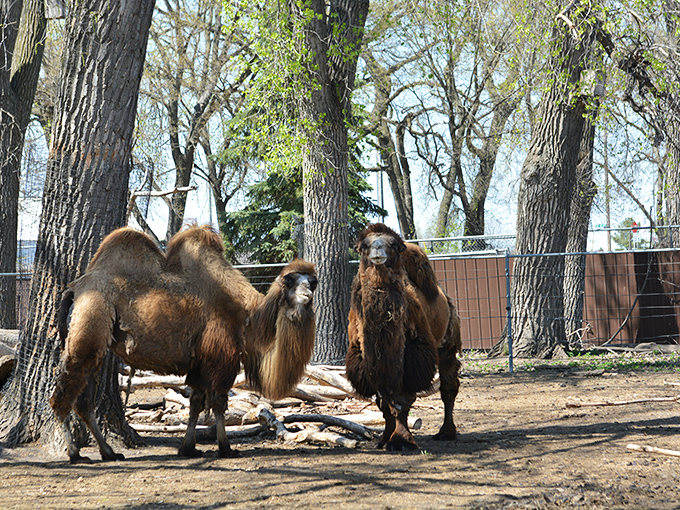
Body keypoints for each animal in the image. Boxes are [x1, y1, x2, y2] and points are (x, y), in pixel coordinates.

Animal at [50, 224, 316, 463]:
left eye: (312, 281)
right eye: (290, 280)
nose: (308, 293)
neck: (248, 315)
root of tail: (75, 290)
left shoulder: (201, 362)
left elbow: (196, 402)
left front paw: (188, 448)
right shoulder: (222, 358)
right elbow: (218, 402)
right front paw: (225, 448)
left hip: (96, 343)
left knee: (83, 401)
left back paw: (109, 452)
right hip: (90, 321)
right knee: (63, 393)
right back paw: (74, 453)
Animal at [345, 223, 462, 451]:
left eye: (393, 245)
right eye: (363, 246)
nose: (377, 250)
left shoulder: (413, 357)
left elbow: (402, 402)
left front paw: (401, 441)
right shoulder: (370, 361)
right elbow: (384, 404)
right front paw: (384, 439)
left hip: (447, 343)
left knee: (448, 386)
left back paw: (446, 433)